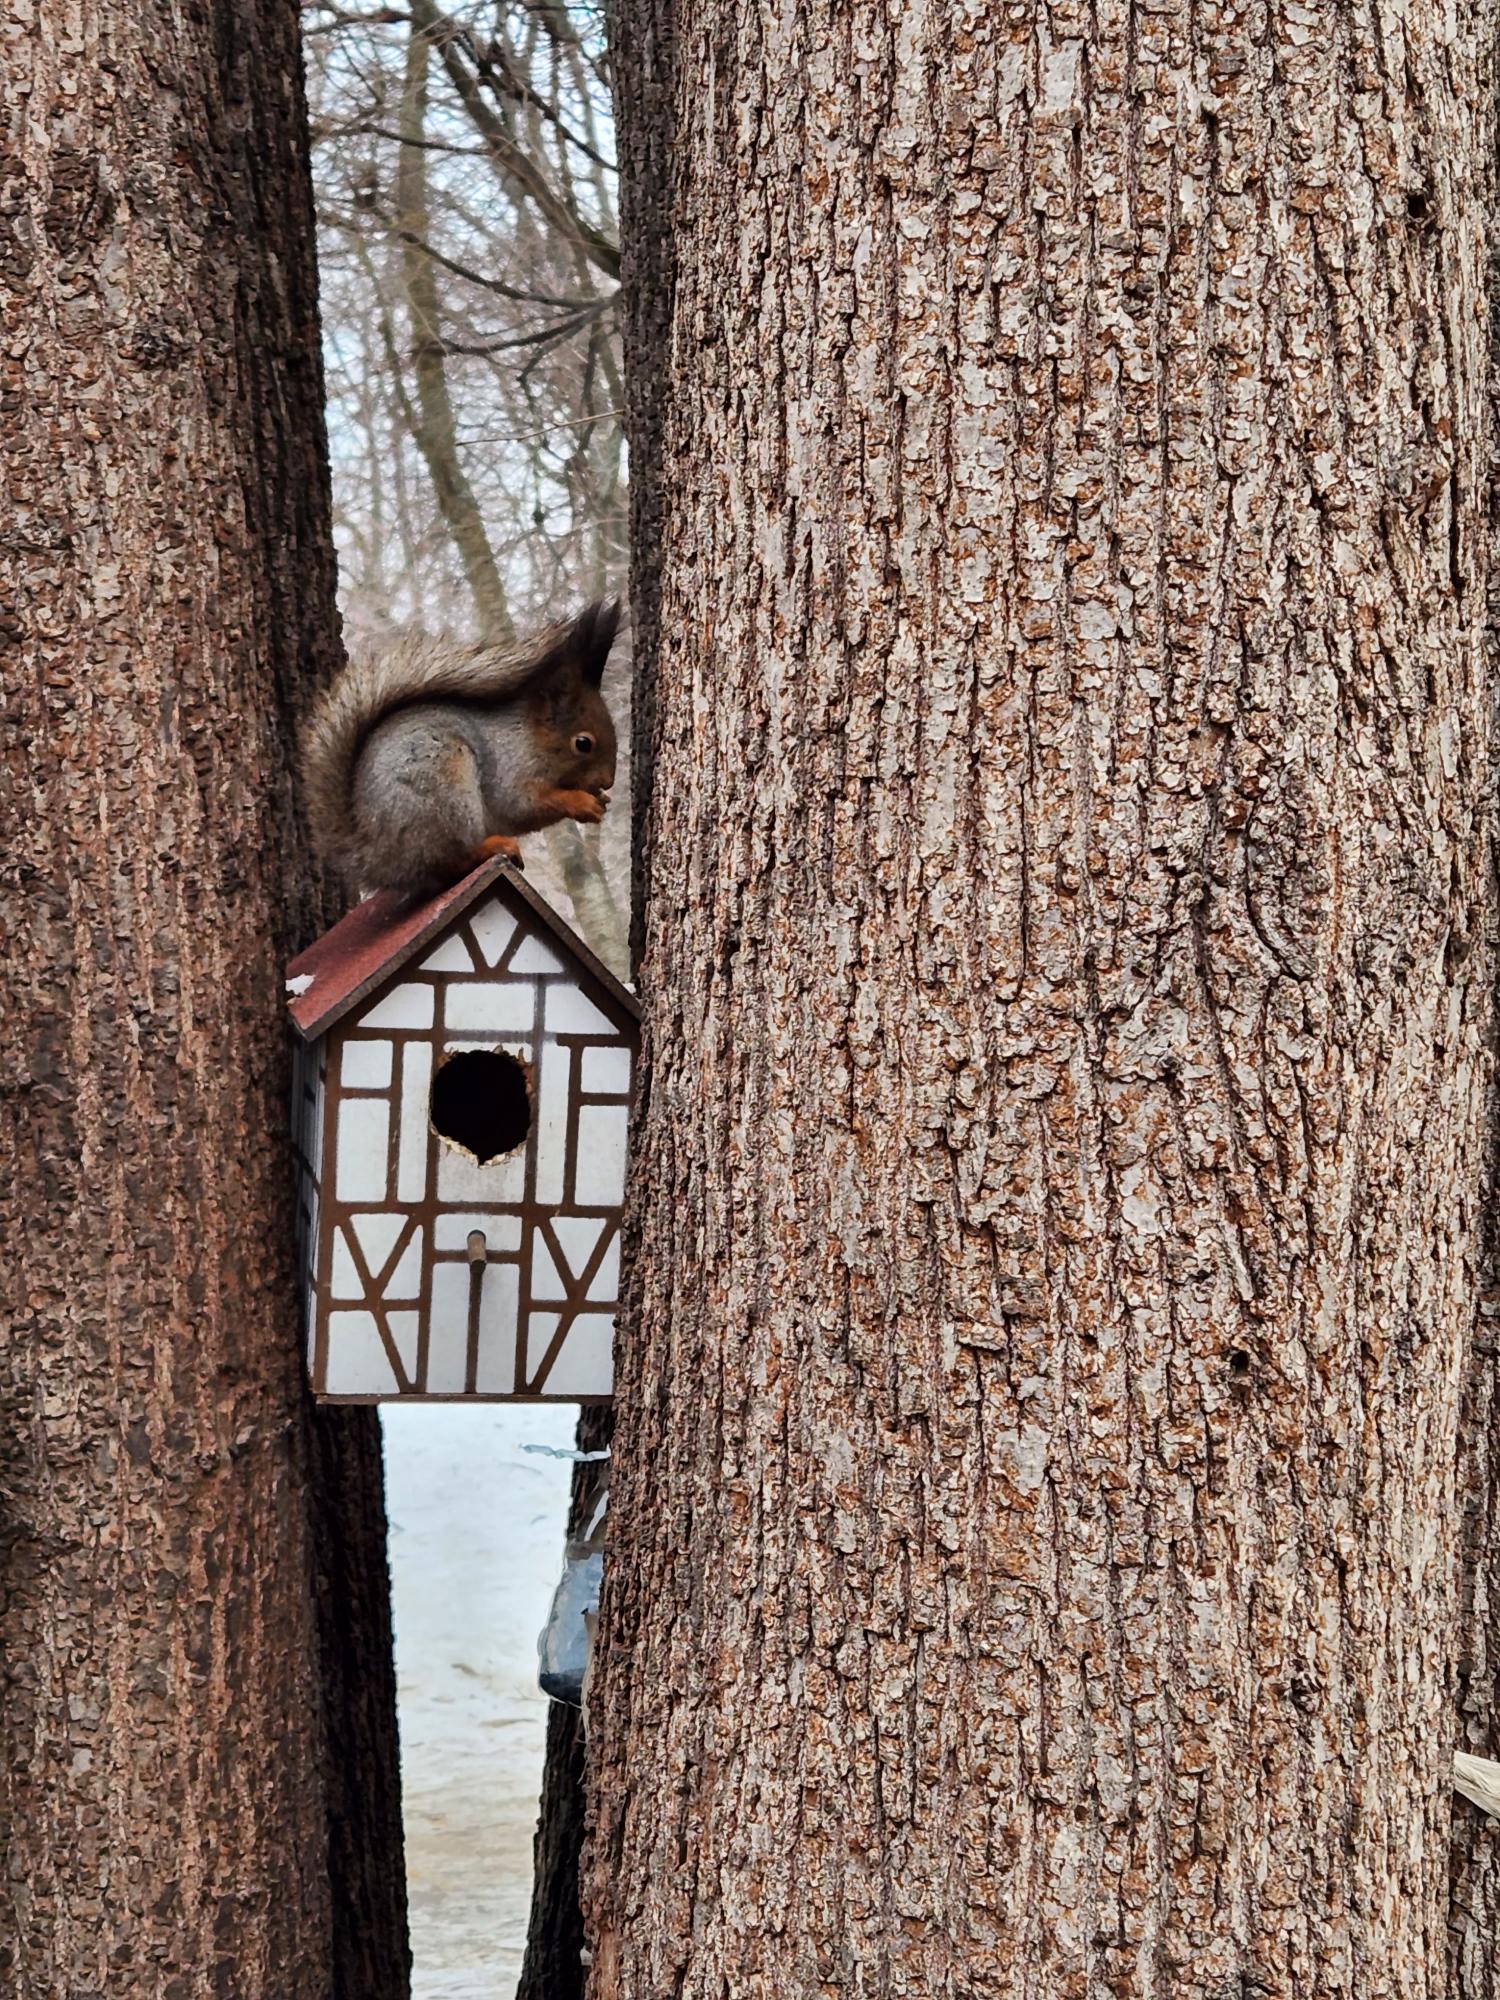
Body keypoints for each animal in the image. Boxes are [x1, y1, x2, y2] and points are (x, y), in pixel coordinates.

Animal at [302, 596, 620, 896]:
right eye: (583, 743)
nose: (608, 781)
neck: (530, 740)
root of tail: (378, 859)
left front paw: (601, 798)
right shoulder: (510, 771)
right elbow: (523, 806)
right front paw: (582, 803)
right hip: (444, 794)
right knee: (449, 862)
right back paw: (494, 847)